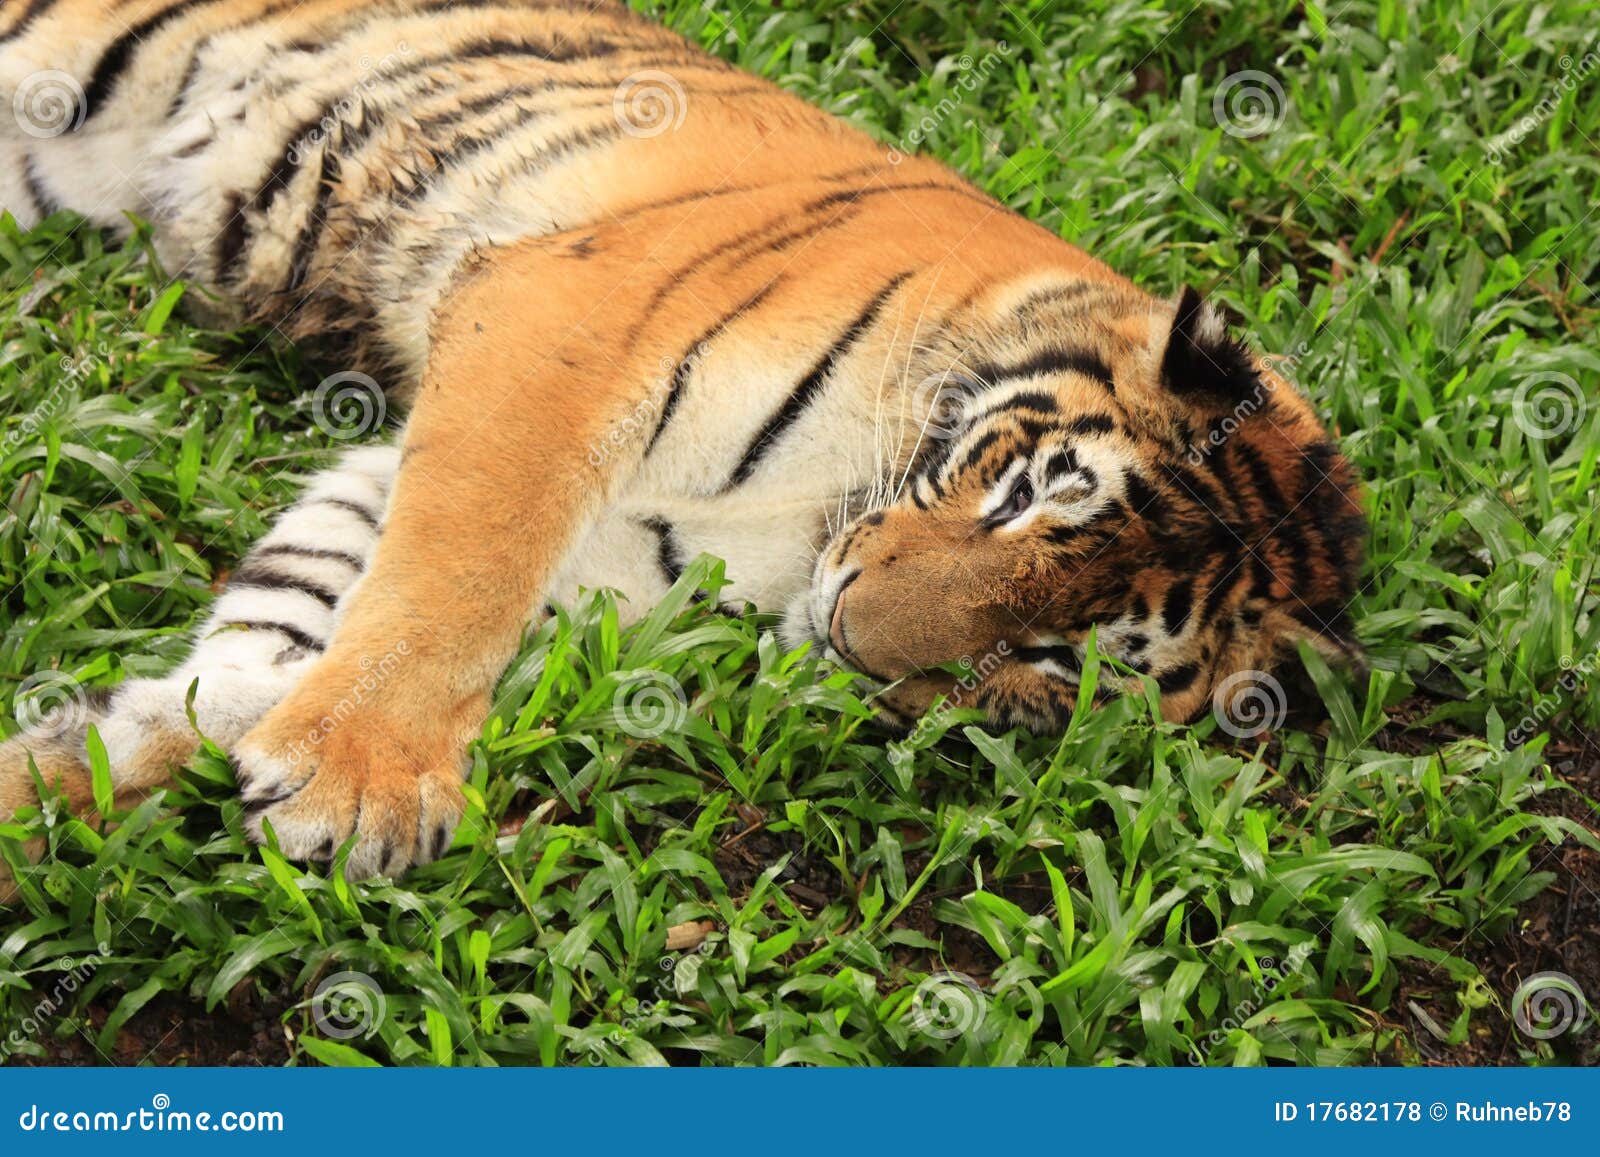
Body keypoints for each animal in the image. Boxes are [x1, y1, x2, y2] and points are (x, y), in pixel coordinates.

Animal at [0, 0, 1367, 886]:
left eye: (1055, 655)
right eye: (1025, 493)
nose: (852, 627)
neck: (818, 516)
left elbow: (257, 656)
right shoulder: (558, 317)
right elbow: (455, 576)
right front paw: (361, 780)